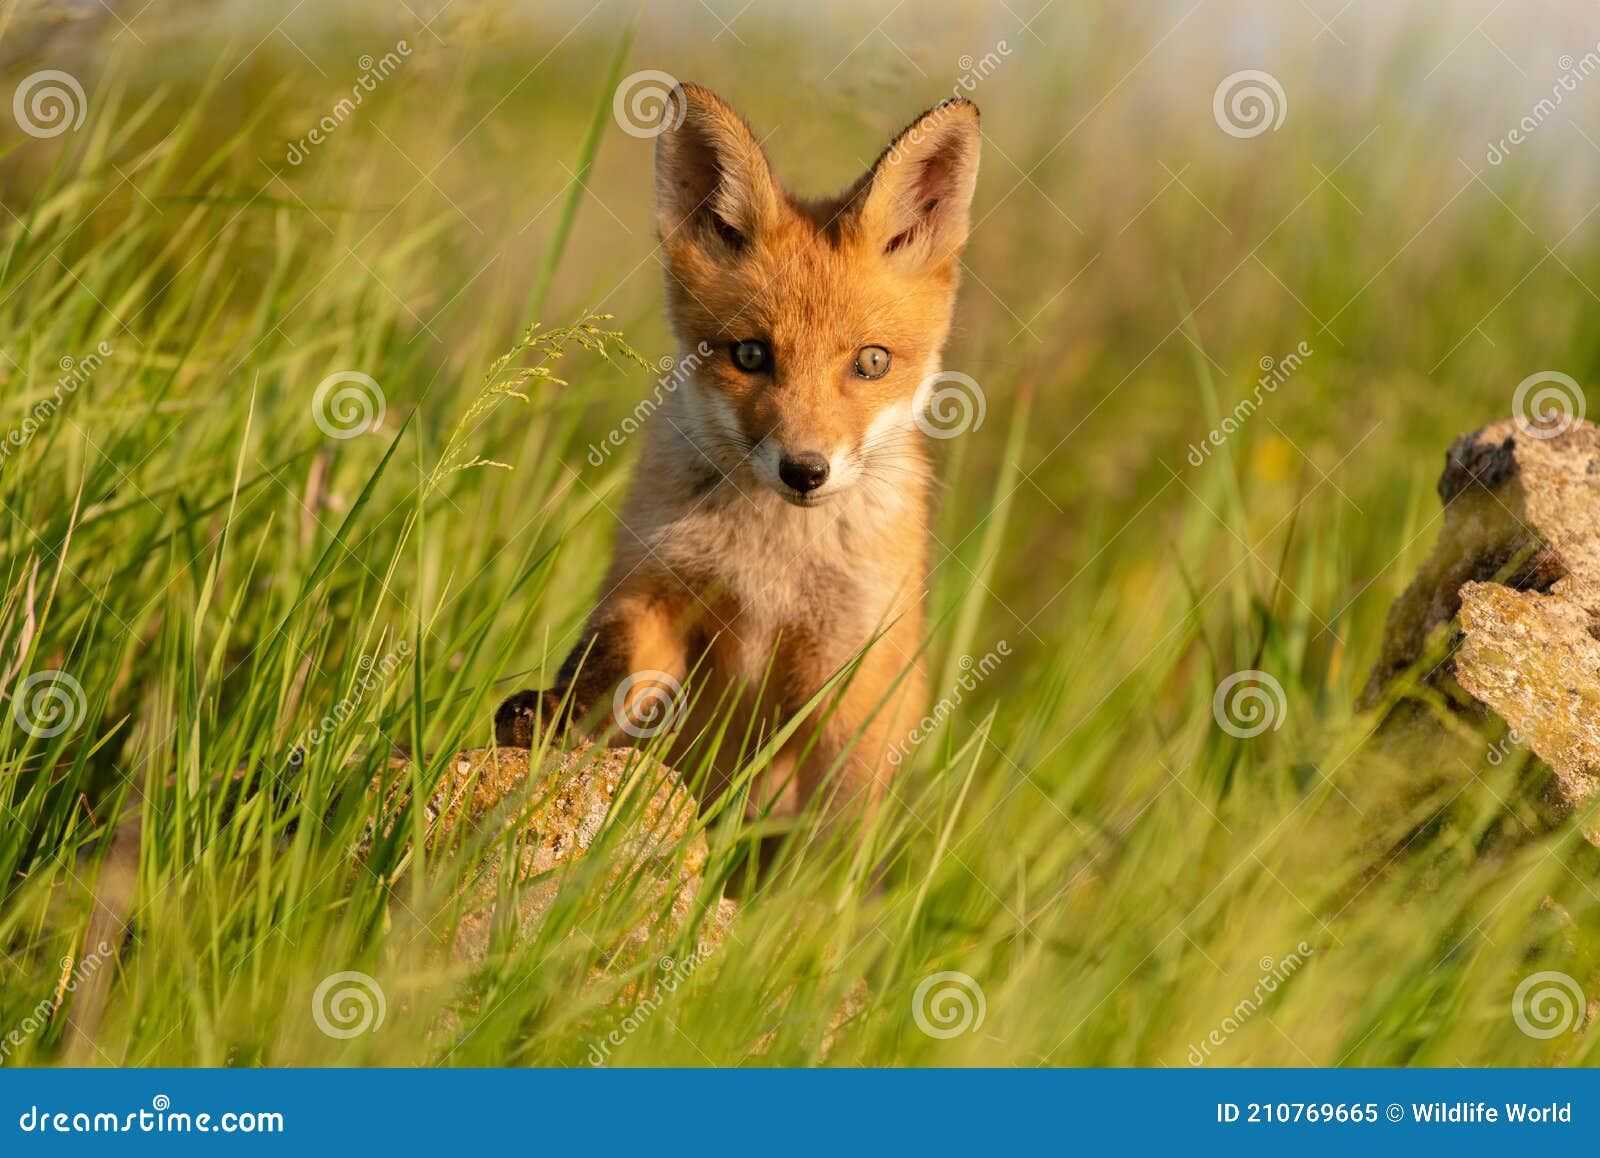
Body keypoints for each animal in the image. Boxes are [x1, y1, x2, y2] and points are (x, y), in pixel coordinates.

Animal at [495, 83, 982, 822]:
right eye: (750, 355)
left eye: (871, 362)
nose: (805, 470)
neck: (771, 571)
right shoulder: (654, 591)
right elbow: (606, 668)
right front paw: (553, 714)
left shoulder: (849, 672)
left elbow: (836, 828)